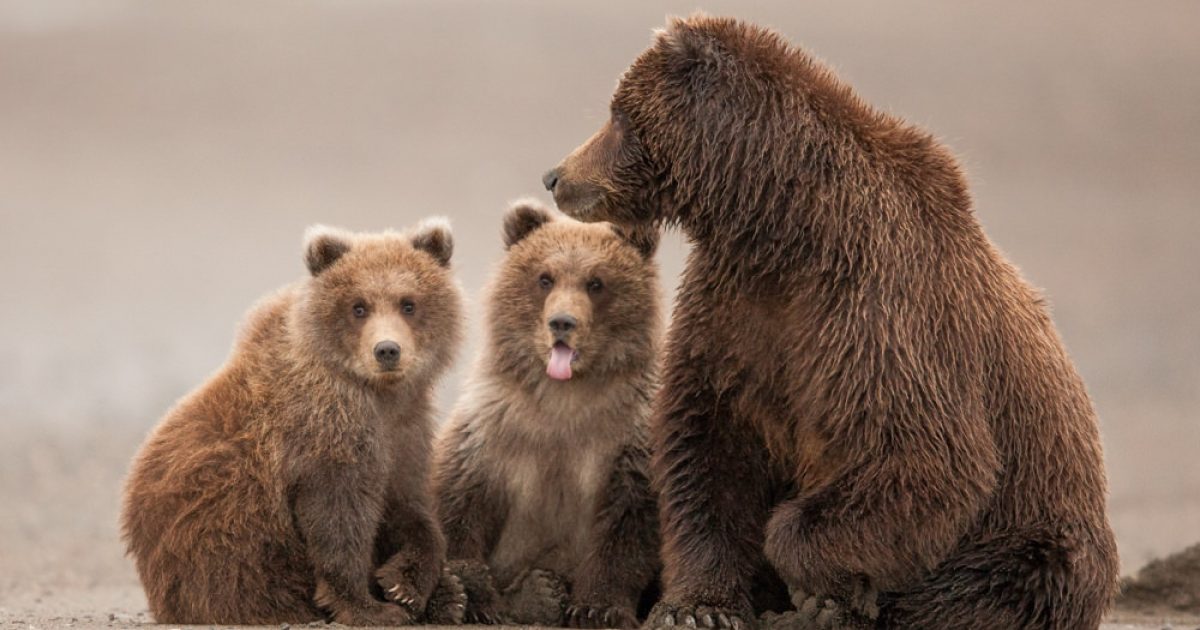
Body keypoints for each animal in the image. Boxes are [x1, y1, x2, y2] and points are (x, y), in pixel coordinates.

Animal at [121, 220, 467, 625]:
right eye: (358, 306)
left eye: (408, 303)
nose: (387, 350)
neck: (378, 395)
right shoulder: (326, 429)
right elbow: (339, 519)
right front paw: (371, 607)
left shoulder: (406, 429)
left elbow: (407, 504)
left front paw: (407, 584)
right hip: (224, 554)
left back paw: (452, 595)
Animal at [432, 201, 662, 629]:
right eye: (545, 277)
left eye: (596, 282)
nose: (562, 322)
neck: (563, 395)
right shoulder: (494, 426)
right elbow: (459, 502)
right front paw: (473, 597)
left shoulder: (628, 435)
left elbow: (627, 522)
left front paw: (597, 607)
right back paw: (538, 592)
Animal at [542, 13, 1119, 630]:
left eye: (617, 116)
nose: (556, 175)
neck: (786, 231)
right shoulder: (736, 310)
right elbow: (706, 448)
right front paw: (696, 607)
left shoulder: (881, 312)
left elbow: (926, 458)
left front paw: (823, 589)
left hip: (1041, 529)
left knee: (995, 584)